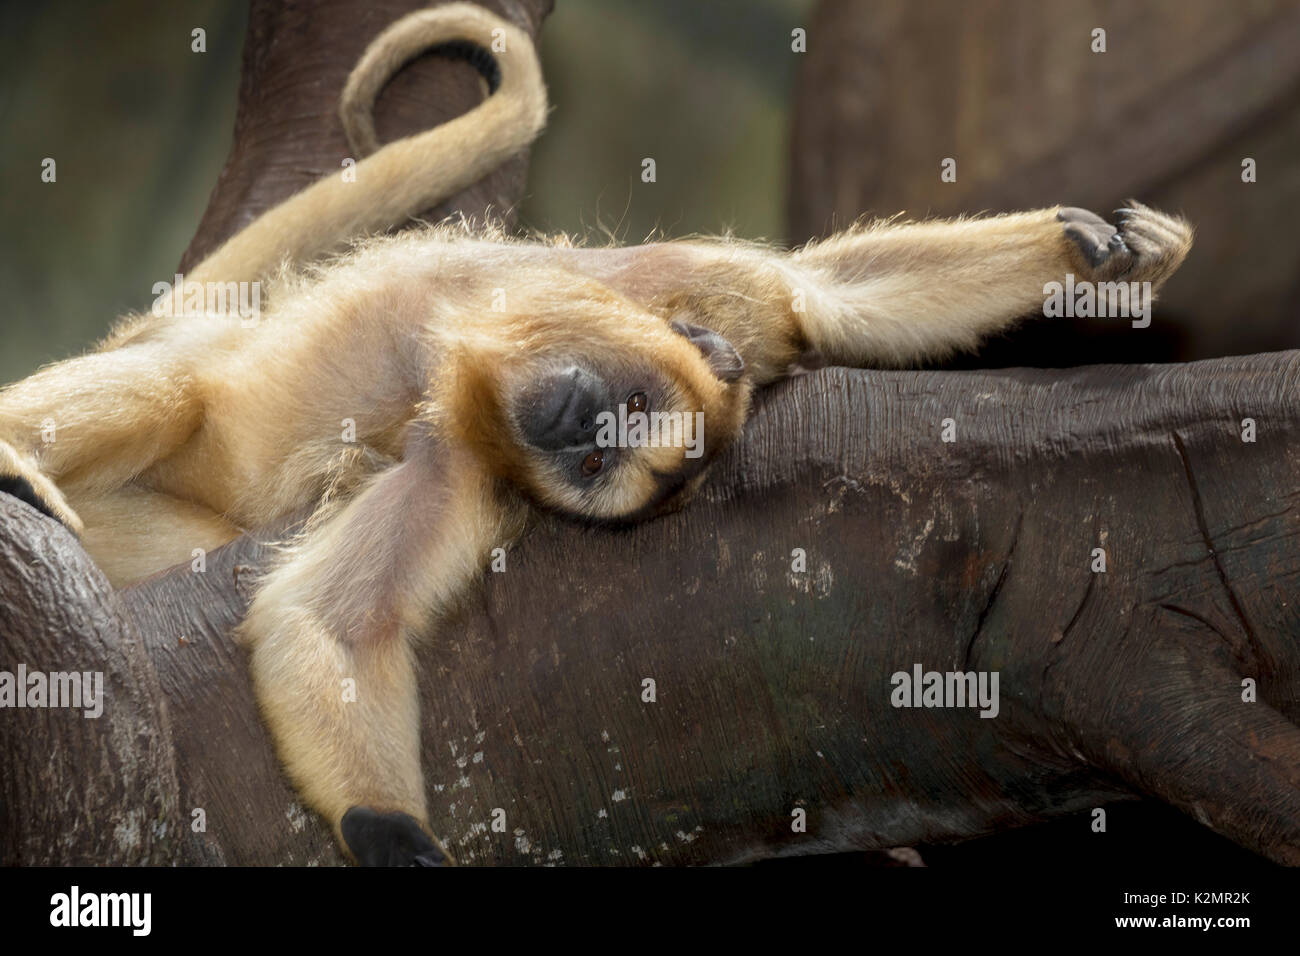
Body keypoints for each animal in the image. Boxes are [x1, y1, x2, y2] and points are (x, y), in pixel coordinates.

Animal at [0, 4, 1192, 865]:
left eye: (598, 462)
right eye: (609, 422)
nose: (581, 432)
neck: (473, 359)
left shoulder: (462, 469)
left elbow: (328, 625)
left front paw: (391, 837)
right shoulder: (655, 291)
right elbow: (814, 297)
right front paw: (1087, 252)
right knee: (177, 391)